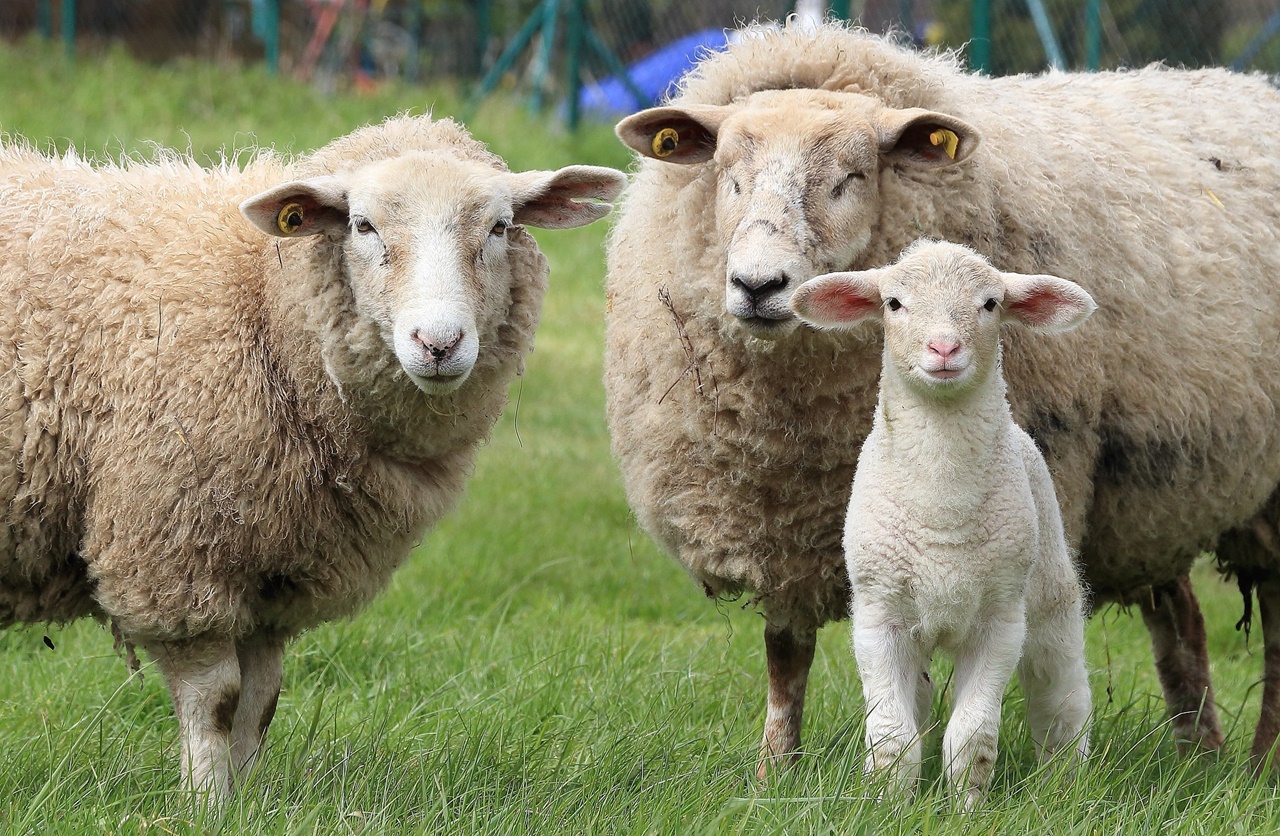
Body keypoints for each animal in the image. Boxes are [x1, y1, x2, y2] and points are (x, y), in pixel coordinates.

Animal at [0, 114, 626, 797]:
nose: (438, 343)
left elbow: (261, 701)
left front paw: (248, 800)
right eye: (363, 225)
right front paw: (206, 801)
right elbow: (215, 699)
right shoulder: (172, 552)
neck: (260, 300)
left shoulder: (276, 573)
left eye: (499, 226)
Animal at [791, 240, 1093, 808]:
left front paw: (967, 809)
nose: (944, 348)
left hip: (1049, 594)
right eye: (893, 302)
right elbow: (892, 738)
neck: (941, 510)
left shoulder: (1000, 621)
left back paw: (1065, 784)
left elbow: (972, 737)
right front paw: (889, 805)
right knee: (921, 698)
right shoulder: (879, 616)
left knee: (1061, 697)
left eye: (991, 303)